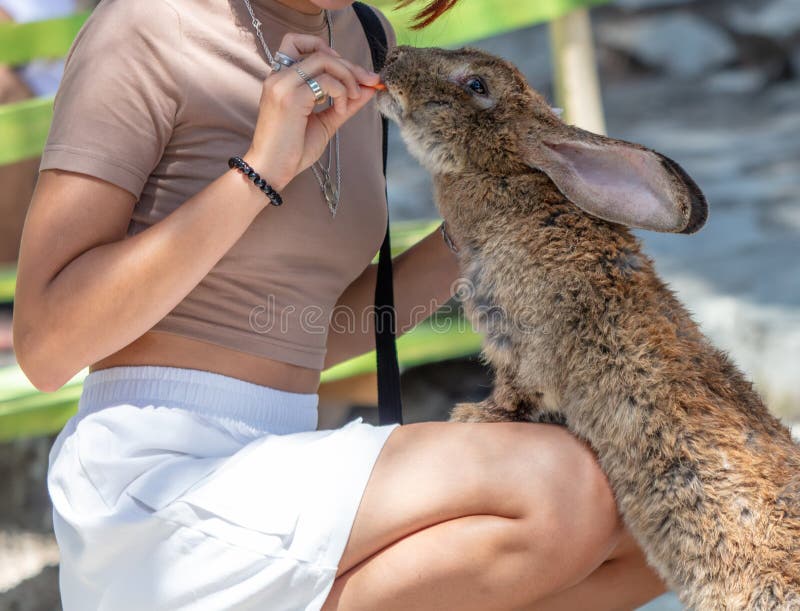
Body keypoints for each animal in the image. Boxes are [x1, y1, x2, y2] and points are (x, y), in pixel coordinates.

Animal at [377, 45, 800, 610]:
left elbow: (515, 392)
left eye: (475, 84)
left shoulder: (520, 344)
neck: (512, 176)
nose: (393, 56)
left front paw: (472, 417)